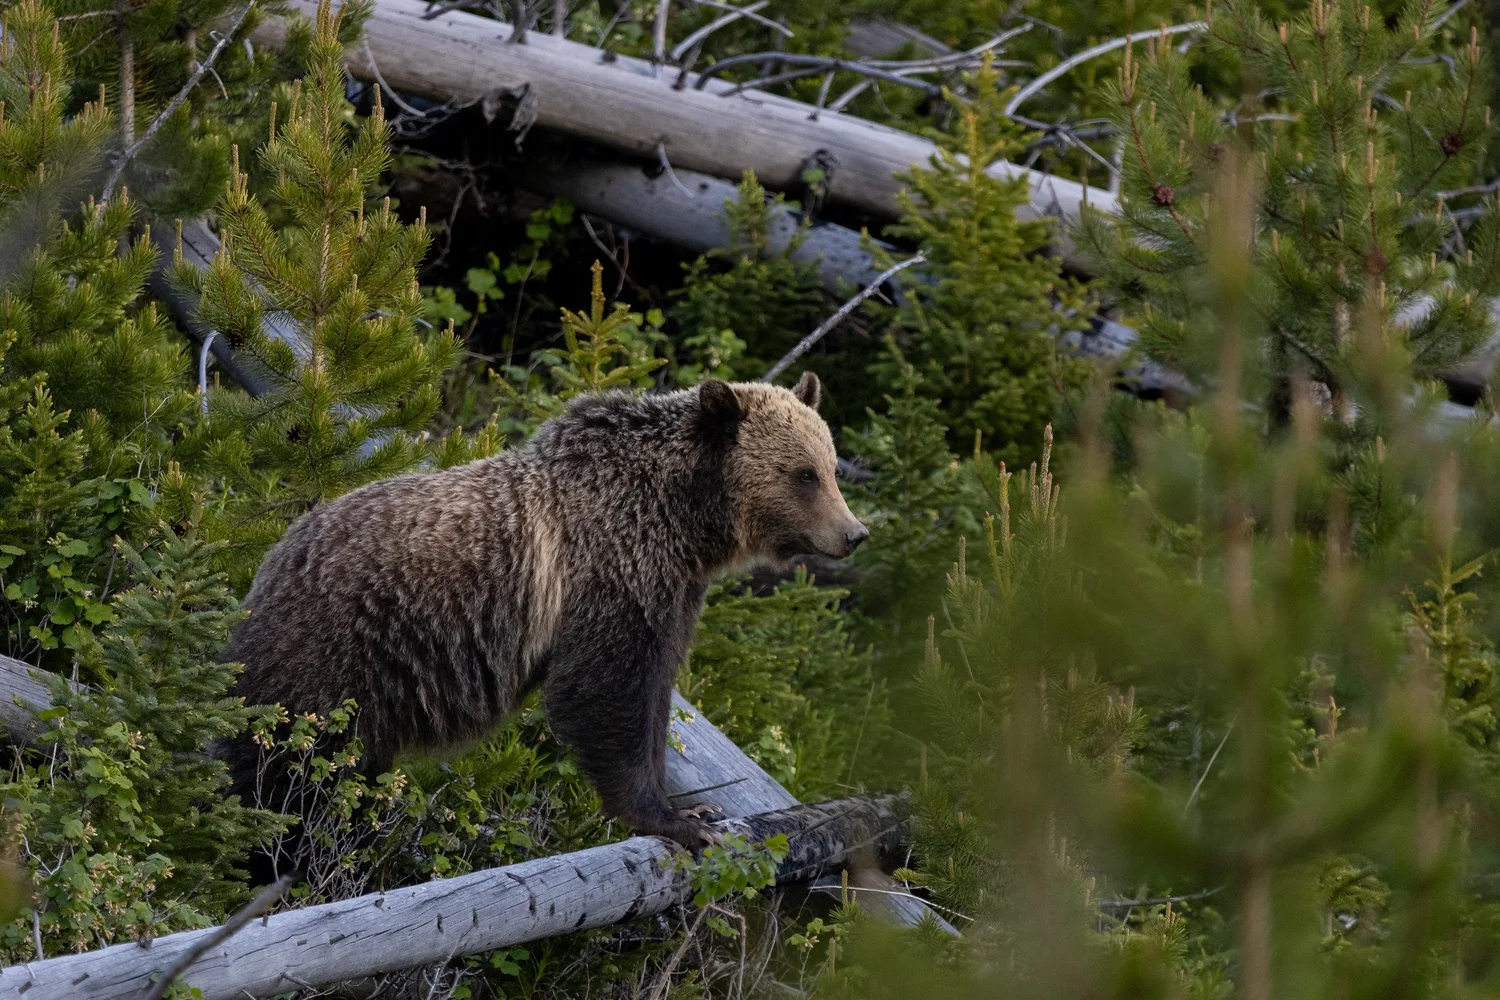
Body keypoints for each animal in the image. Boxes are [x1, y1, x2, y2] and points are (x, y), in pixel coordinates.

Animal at [219, 371, 868, 850]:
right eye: (804, 474)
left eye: (831, 465)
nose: (854, 533)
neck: (679, 519)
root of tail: (263, 571)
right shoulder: (612, 572)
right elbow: (608, 690)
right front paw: (673, 818)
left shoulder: (671, 589)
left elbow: (655, 689)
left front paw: (697, 806)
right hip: (330, 658)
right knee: (286, 770)